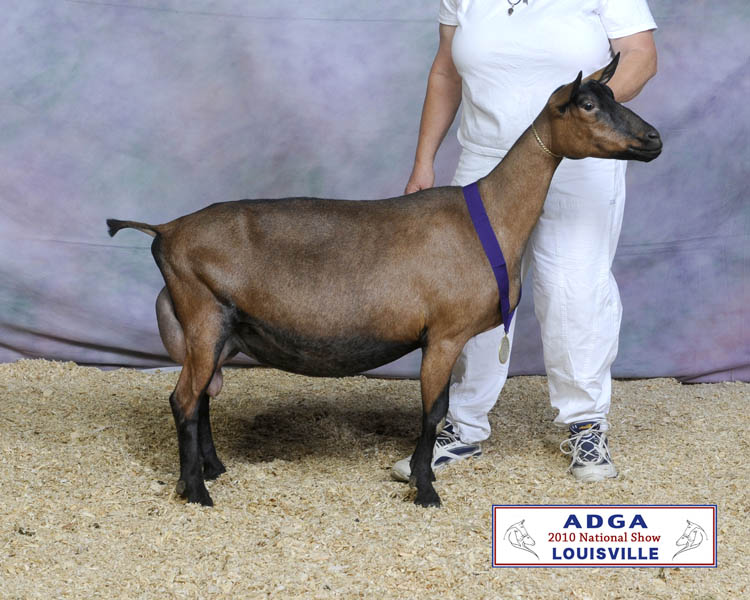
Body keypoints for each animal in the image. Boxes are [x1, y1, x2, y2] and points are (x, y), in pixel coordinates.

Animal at [107, 54, 661, 508]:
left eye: (614, 97)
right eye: (587, 103)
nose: (654, 140)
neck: (491, 215)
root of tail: (166, 230)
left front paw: (420, 477)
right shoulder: (443, 335)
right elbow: (434, 410)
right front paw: (425, 489)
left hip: (219, 329)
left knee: (201, 397)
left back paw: (214, 470)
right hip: (202, 314)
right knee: (184, 399)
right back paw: (196, 490)